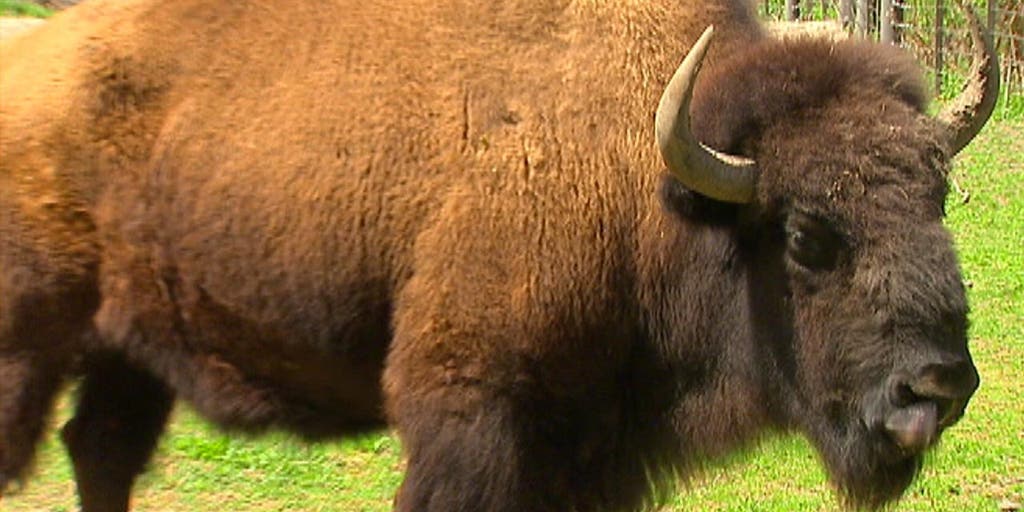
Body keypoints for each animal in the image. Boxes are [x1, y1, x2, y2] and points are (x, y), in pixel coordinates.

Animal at [0, 0, 998, 511]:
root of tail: (33, 58)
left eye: (938, 199)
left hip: (132, 350)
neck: (645, 184)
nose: (937, 386)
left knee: (101, 448)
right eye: (804, 235)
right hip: (29, 343)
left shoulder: (596, 447)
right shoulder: (472, 409)